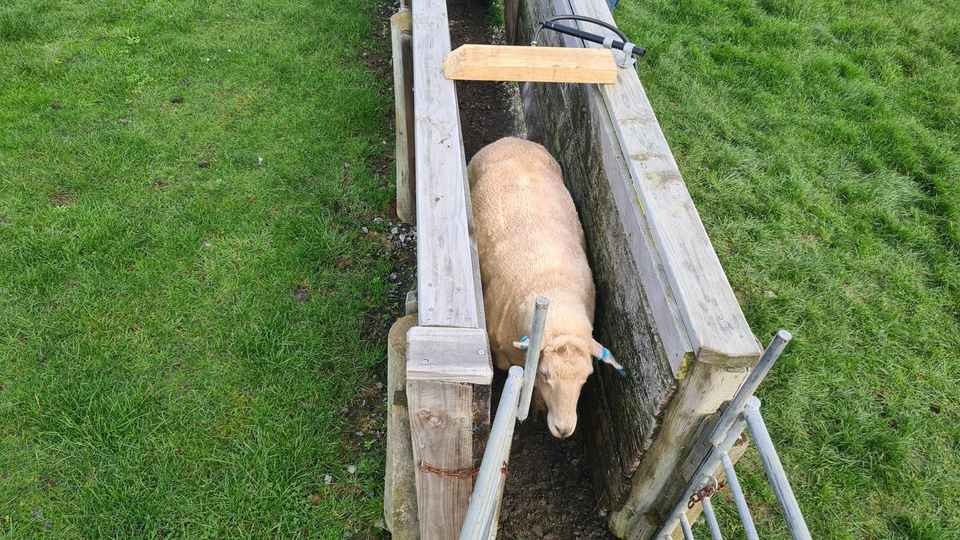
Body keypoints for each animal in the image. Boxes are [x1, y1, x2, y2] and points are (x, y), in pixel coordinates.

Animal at [467, 137, 622, 439]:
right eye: (546, 374)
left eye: (586, 378)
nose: (564, 429)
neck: (554, 292)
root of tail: (512, 140)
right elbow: (510, 367)